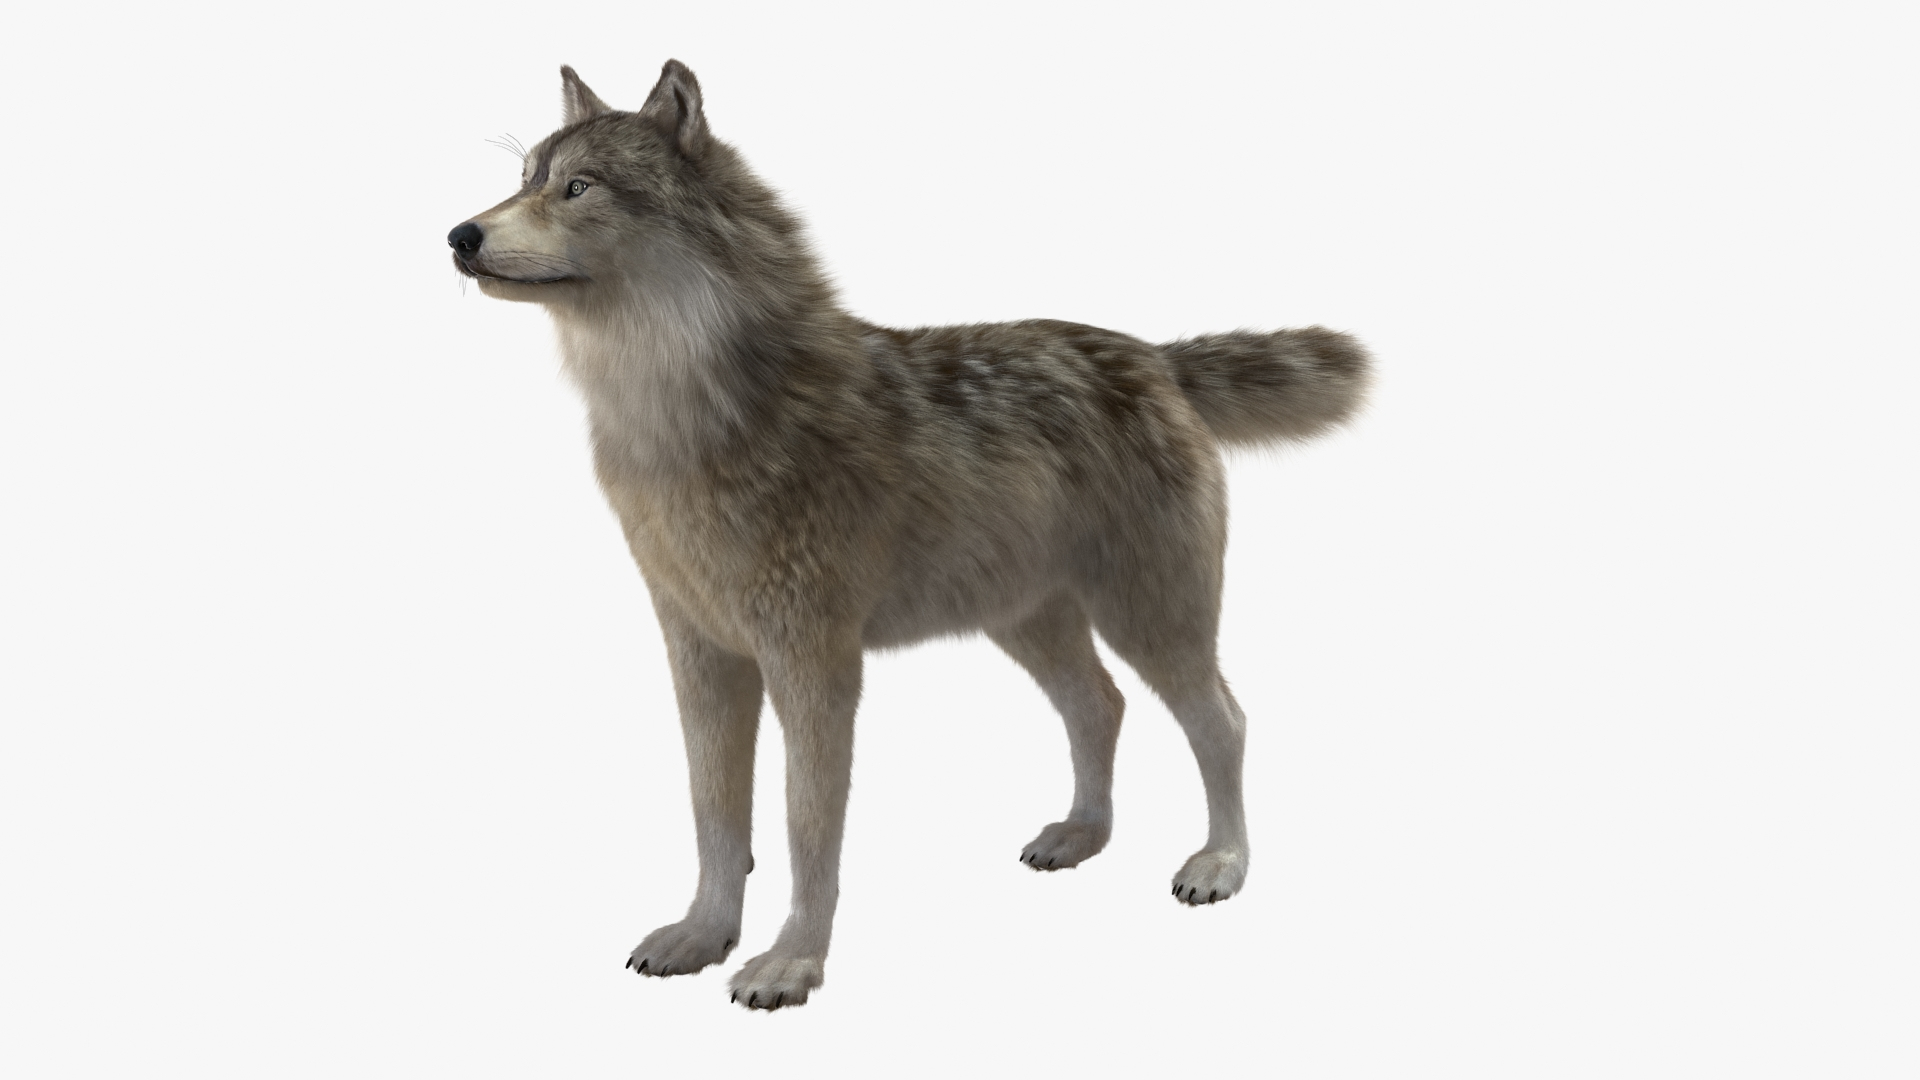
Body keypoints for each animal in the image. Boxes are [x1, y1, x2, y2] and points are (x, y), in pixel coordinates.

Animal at [449, 60, 1370, 1010]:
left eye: (579, 187)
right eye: (526, 178)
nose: (459, 236)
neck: (677, 419)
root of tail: (1155, 358)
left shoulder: (815, 664)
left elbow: (805, 829)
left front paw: (792, 962)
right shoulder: (700, 652)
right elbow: (714, 815)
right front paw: (703, 934)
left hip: (1147, 618)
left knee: (1223, 720)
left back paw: (1221, 862)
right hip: (1027, 622)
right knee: (1101, 705)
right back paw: (1079, 835)